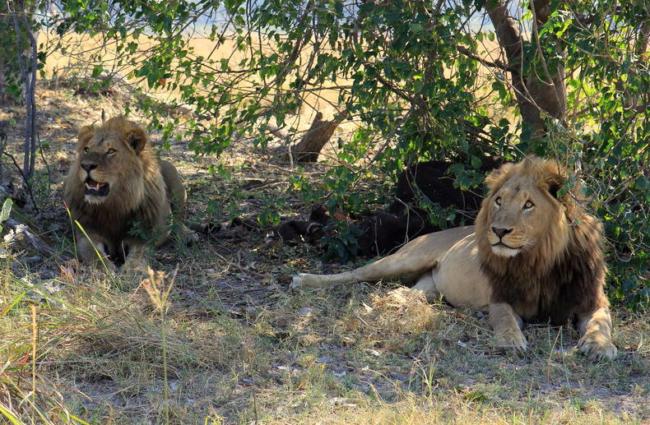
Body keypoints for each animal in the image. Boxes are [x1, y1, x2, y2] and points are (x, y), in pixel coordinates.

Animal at [64, 116, 195, 271]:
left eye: (111, 151)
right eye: (86, 149)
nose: (86, 165)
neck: (114, 205)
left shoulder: (143, 235)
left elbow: (139, 254)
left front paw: (131, 270)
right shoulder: (87, 233)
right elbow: (93, 252)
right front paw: (106, 268)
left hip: (174, 177)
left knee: (179, 219)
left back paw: (188, 235)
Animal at [292, 157, 616, 360]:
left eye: (528, 205)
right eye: (499, 201)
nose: (498, 231)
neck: (540, 260)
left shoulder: (592, 300)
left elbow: (602, 322)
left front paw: (601, 347)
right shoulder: (500, 298)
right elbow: (505, 320)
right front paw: (510, 341)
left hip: (429, 287)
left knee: (408, 292)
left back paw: (391, 303)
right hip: (404, 259)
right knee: (354, 274)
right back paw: (304, 280)